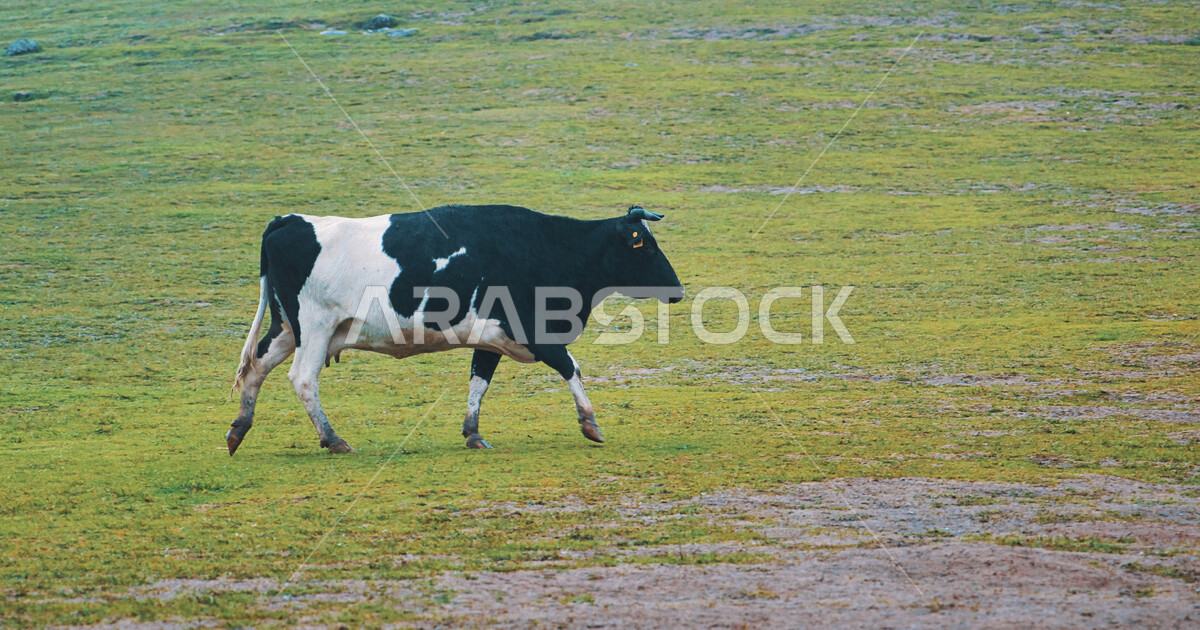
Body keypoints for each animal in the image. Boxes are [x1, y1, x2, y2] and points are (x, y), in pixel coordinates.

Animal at [228, 204, 684, 455]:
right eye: (644, 244)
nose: (678, 289)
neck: (546, 247)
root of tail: (290, 220)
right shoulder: (533, 331)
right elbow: (570, 366)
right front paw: (589, 423)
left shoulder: (491, 337)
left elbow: (478, 381)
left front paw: (473, 433)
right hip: (314, 326)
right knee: (303, 378)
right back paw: (333, 438)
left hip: (287, 327)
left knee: (256, 366)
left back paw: (239, 428)